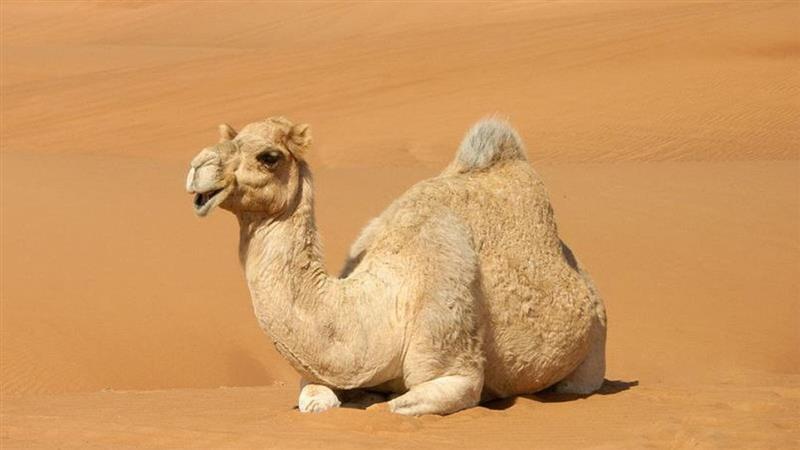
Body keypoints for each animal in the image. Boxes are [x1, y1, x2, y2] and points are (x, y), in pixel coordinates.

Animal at [185, 116, 607, 416]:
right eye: (234, 136)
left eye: (269, 156)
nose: (196, 167)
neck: (380, 307)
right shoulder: (322, 371)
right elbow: (314, 399)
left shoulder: (453, 370)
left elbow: (399, 406)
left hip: (595, 345)